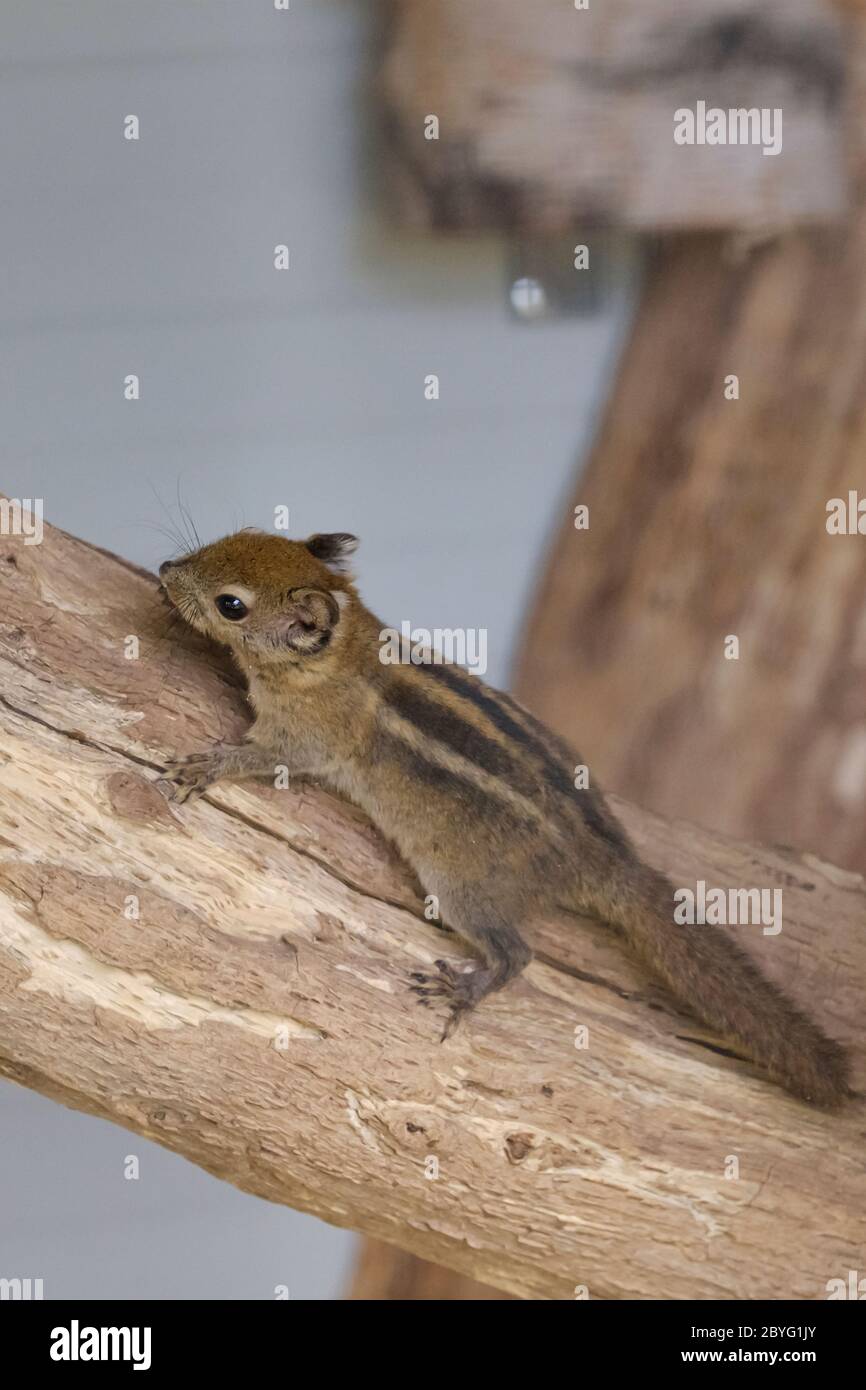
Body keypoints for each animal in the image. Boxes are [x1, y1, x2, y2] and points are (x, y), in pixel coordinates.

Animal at [159, 528, 849, 1107]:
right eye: (230, 534)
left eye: (231, 605)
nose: (165, 569)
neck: (342, 654)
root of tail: (606, 861)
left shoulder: (304, 740)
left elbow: (263, 758)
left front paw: (207, 767)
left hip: (462, 890)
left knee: (518, 954)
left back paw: (466, 988)